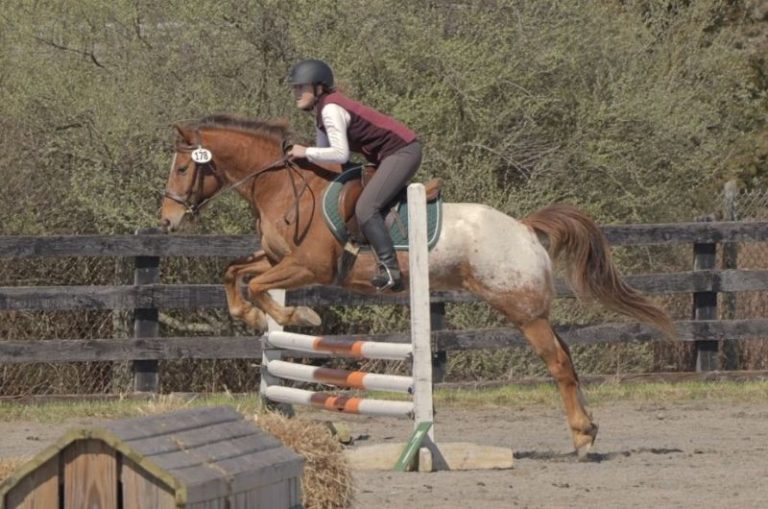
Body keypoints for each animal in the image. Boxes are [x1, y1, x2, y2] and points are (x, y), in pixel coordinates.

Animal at [159, 114, 674, 454]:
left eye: (183, 169)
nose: (166, 221)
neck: (286, 187)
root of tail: (525, 229)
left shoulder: (310, 266)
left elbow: (260, 285)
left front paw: (296, 314)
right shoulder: (275, 257)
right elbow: (235, 274)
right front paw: (252, 315)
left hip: (522, 311)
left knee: (559, 364)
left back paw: (582, 437)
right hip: (531, 311)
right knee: (566, 357)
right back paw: (589, 429)